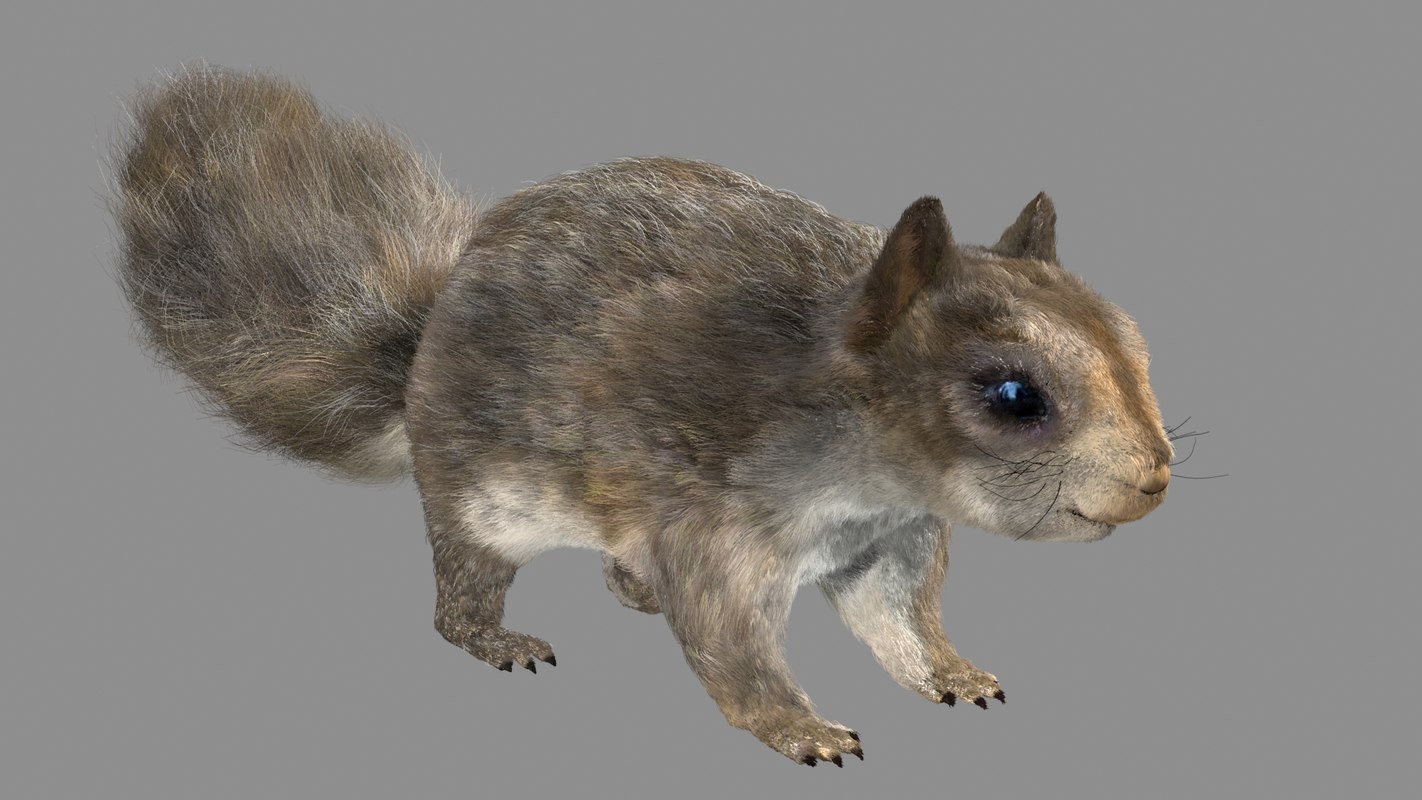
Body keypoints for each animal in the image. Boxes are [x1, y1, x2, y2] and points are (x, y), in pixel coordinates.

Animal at [110, 65, 1173, 767]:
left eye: (1138, 347)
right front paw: (802, 729)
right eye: (1012, 396)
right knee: (459, 593)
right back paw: (497, 636)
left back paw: (631, 586)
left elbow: (900, 625)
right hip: (481, 496)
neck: (867, 473)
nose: (1155, 479)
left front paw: (953, 672)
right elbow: (733, 644)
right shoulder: (718, 526)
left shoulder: (892, 543)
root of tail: (423, 347)